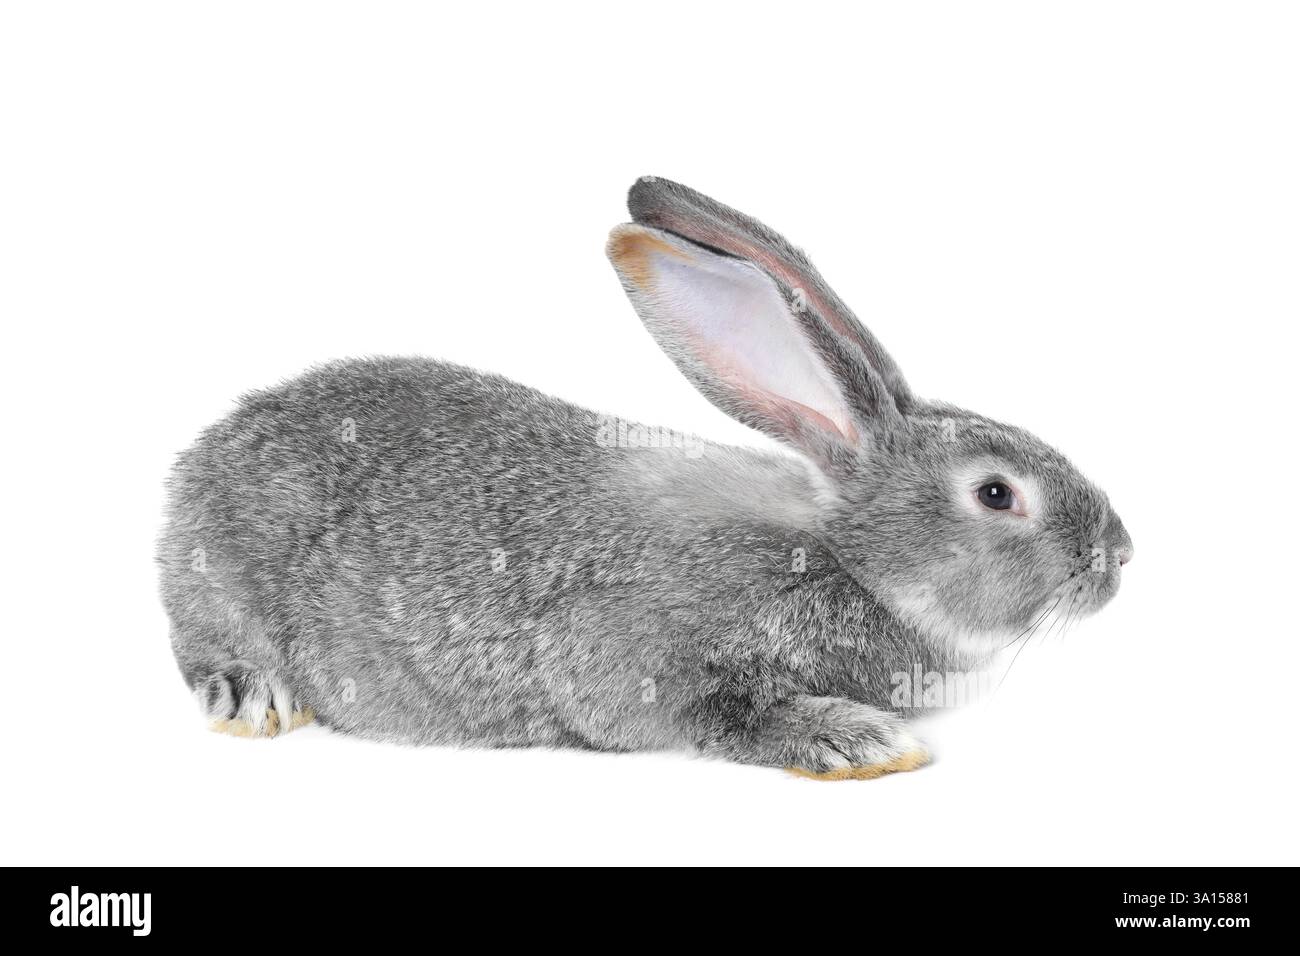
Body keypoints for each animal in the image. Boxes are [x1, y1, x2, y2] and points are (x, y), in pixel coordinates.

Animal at [158, 175, 1132, 780]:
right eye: (996, 493)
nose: (1118, 554)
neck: (848, 559)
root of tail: (206, 454)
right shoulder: (636, 656)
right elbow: (719, 710)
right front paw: (856, 742)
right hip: (218, 579)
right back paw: (252, 694)